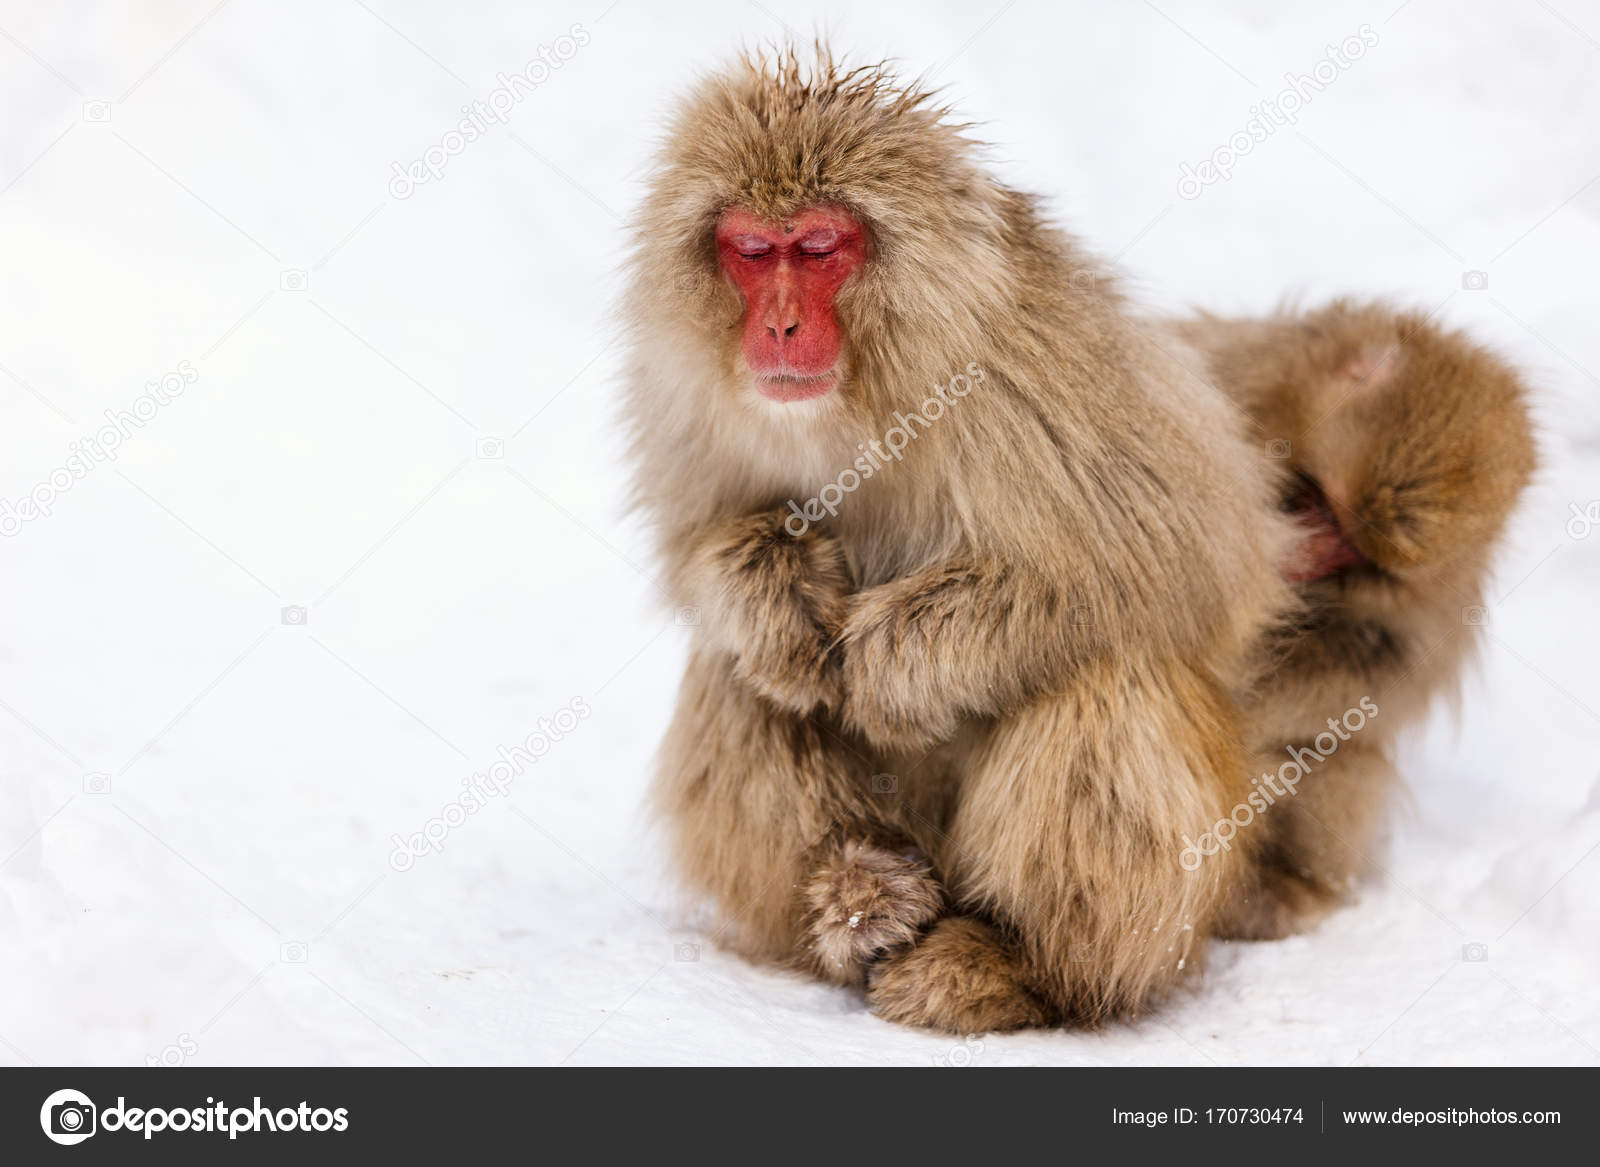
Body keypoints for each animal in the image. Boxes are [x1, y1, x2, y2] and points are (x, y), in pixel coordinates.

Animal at [621, 48, 1534, 1034]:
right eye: (753, 252)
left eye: (821, 250)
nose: (779, 325)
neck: (870, 387)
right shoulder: (695, 392)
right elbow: (699, 543)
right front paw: (772, 585)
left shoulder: (1035, 364)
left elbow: (1188, 561)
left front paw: (903, 659)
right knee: (744, 668)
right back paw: (855, 898)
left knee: (1109, 678)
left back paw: (1023, 966)